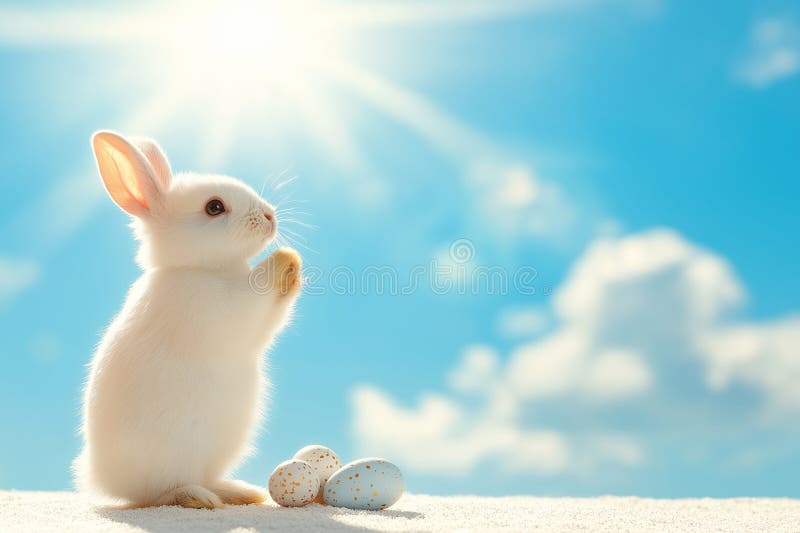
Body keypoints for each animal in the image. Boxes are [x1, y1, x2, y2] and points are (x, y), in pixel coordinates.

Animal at [73, 131, 302, 509]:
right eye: (214, 207)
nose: (270, 216)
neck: (201, 268)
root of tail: (103, 480)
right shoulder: (220, 309)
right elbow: (253, 297)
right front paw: (283, 258)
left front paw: (295, 265)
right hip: (167, 464)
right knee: (157, 494)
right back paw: (196, 498)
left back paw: (240, 492)